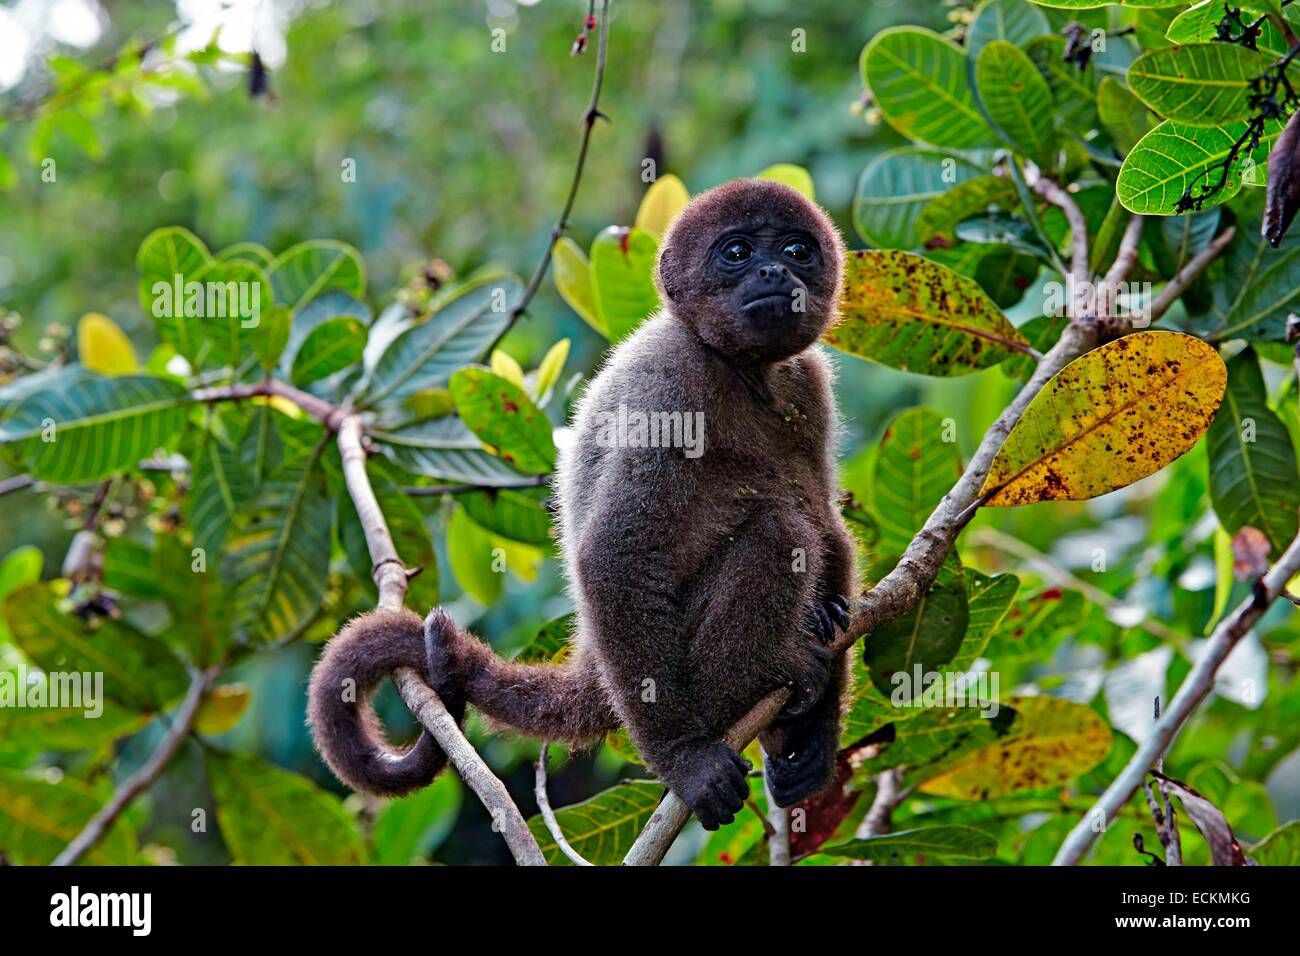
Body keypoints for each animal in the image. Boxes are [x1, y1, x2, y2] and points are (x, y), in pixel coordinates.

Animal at [308, 179, 856, 829]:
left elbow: (830, 524)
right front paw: (686, 760)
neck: (744, 371)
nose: (774, 270)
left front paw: (817, 739)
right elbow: (615, 555)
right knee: (779, 533)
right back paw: (770, 680)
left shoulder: (808, 382)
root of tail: (595, 669)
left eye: (798, 250)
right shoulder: (671, 381)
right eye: (737, 253)